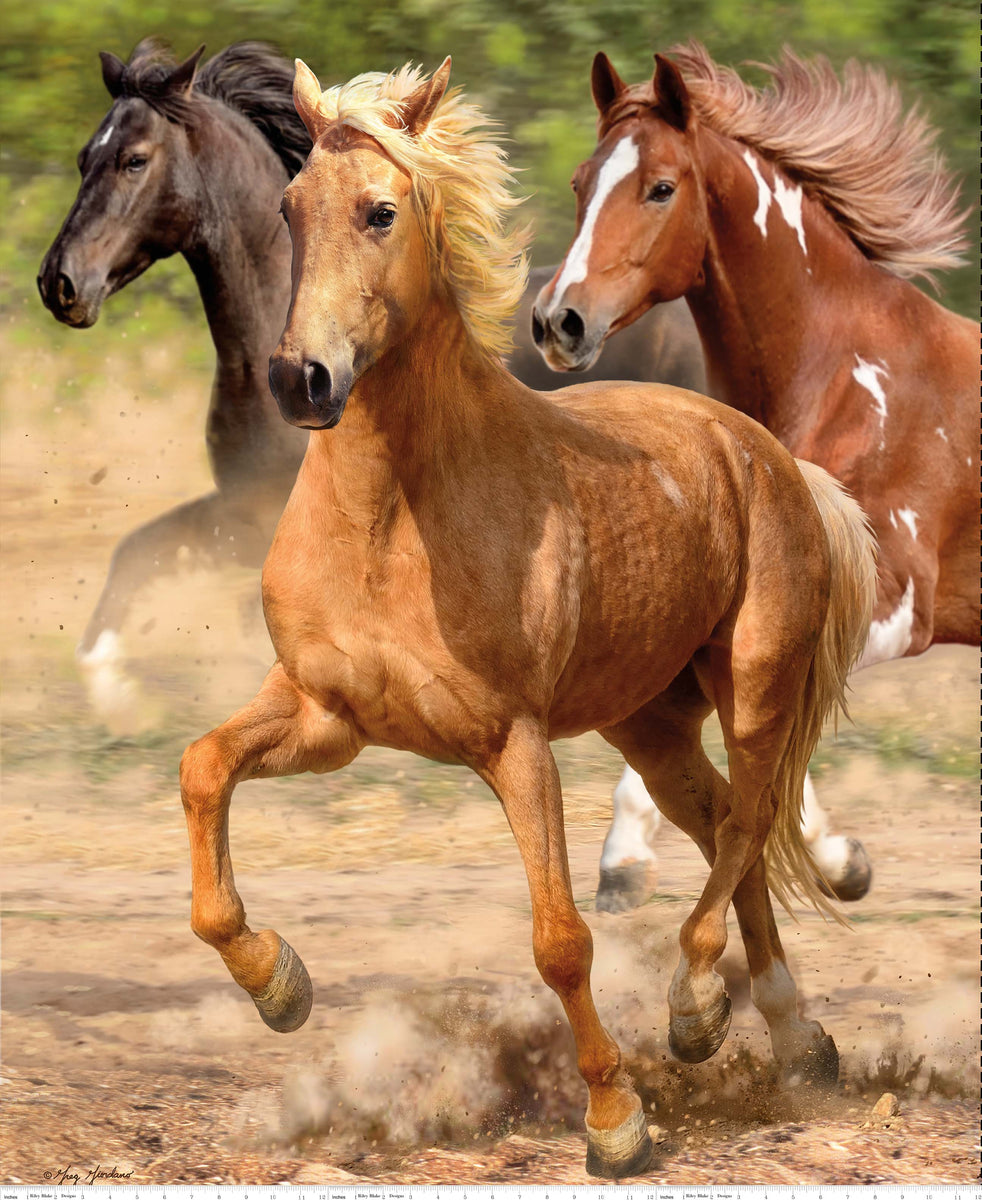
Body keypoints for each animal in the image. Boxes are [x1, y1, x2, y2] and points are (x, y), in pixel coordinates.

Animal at [36, 39, 705, 732]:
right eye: (86, 158)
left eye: (135, 159)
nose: (60, 282)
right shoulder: (241, 505)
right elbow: (138, 550)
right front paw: (110, 686)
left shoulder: (270, 518)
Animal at [178, 59, 876, 1177]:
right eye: (289, 209)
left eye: (381, 212)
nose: (301, 379)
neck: (390, 519)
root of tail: (770, 455)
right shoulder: (329, 717)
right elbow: (203, 767)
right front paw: (276, 981)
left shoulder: (513, 743)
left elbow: (560, 939)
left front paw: (616, 1123)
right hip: (649, 724)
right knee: (721, 821)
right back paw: (791, 1036)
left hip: (756, 684)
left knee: (745, 826)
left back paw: (697, 1010)